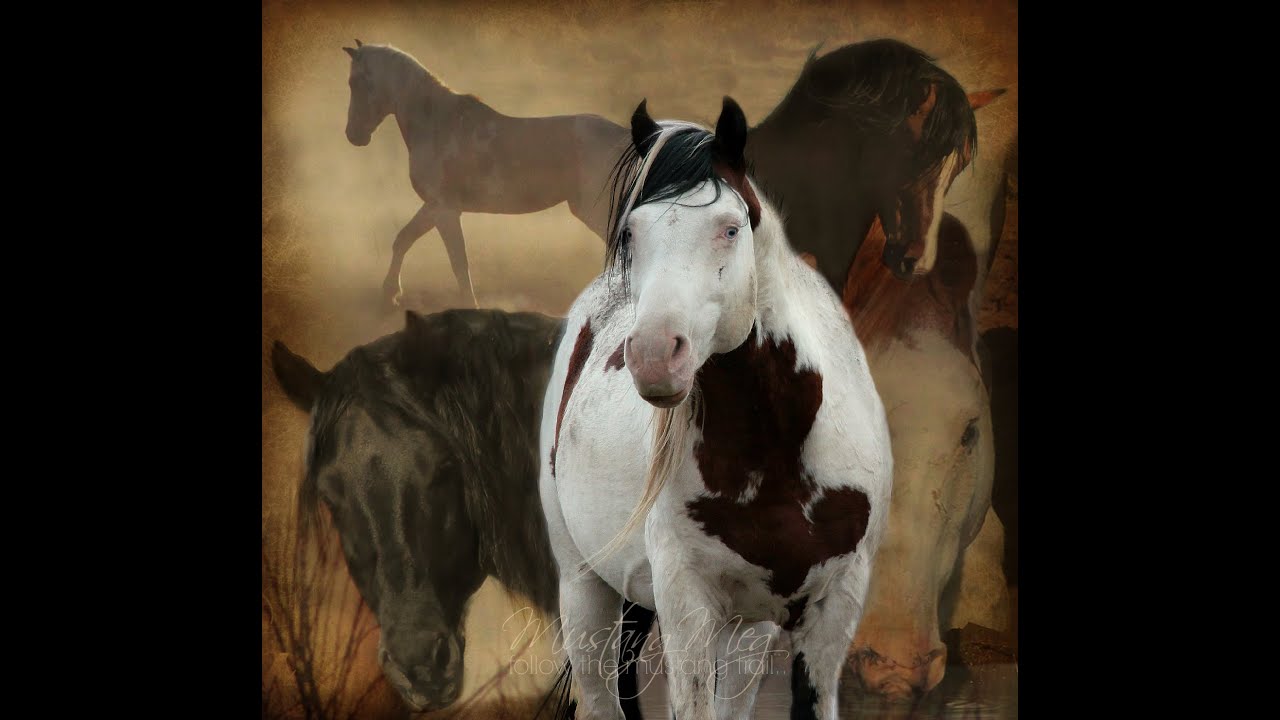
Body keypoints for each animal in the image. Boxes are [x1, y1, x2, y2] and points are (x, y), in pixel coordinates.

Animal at [341, 40, 629, 308]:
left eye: (355, 82)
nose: (353, 135)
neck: (437, 125)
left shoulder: (445, 211)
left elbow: (459, 263)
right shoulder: (434, 207)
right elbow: (403, 239)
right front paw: (390, 294)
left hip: (595, 211)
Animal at [540, 98, 894, 720]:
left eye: (730, 228)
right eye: (631, 232)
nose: (653, 355)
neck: (779, 447)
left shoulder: (834, 607)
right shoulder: (688, 602)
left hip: (745, 631)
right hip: (584, 590)